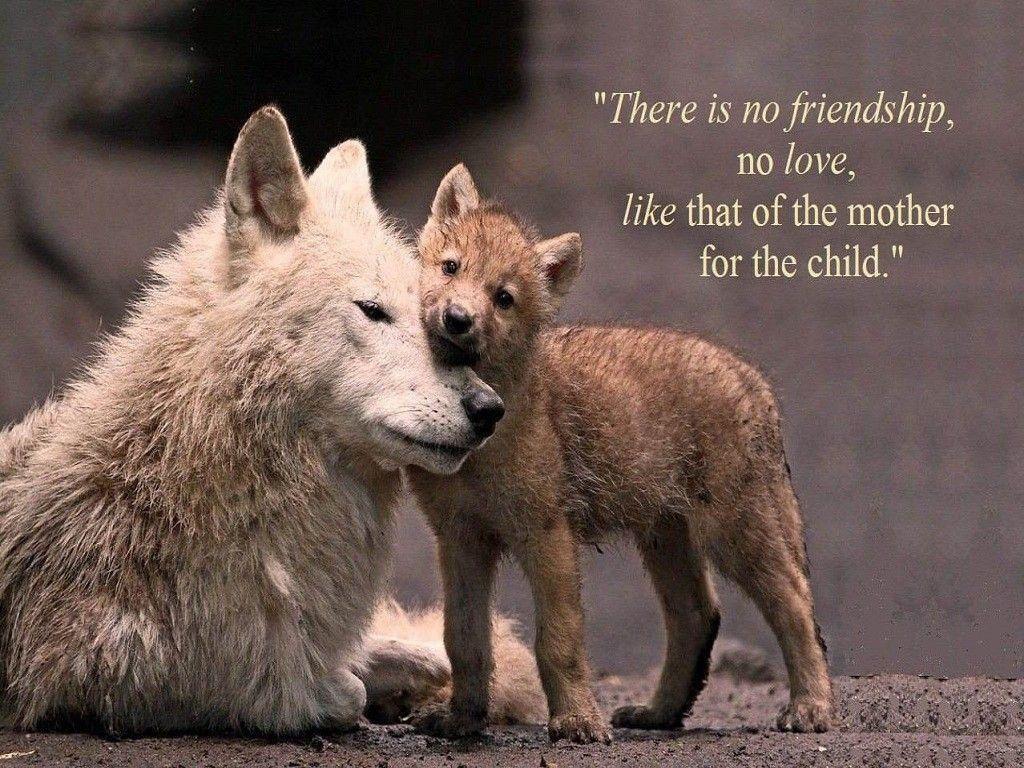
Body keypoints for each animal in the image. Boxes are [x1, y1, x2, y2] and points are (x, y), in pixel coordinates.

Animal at [406, 164, 834, 743]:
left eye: (504, 298)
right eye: (450, 267)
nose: (457, 318)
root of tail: (755, 382)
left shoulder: (547, 534)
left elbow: (558, 641)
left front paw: (575, 721)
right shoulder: (460, 539)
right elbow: (464, 640)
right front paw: (460, 719)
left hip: (735, 530)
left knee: (794, 603)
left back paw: (810, 707)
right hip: (666, 535)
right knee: (697, 616)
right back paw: (659, 713)